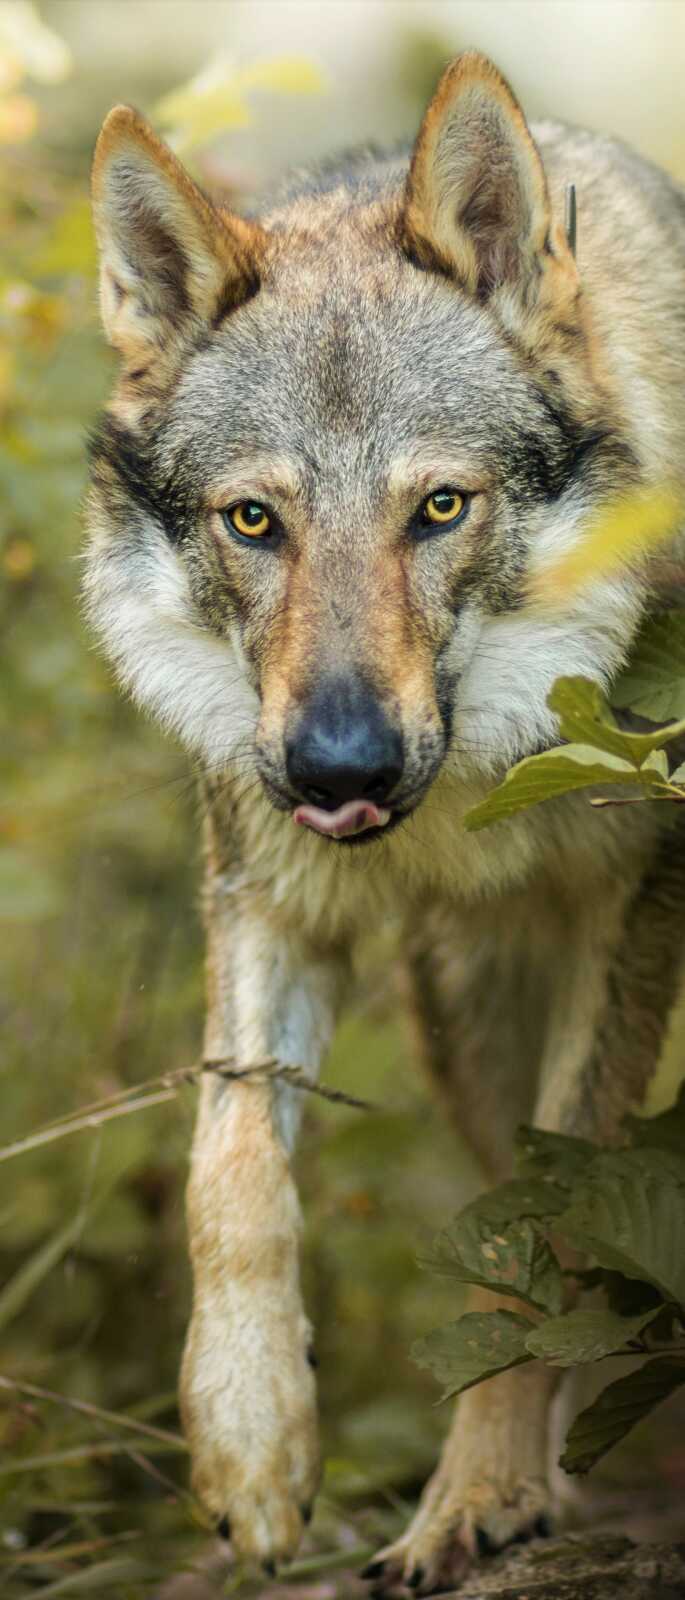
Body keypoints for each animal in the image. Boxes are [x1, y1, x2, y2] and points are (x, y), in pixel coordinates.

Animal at [84, 50, 685, 1593]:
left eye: (439, 508)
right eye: (253, 522)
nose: (334, 766)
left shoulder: (626, 921)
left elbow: (547, 1229)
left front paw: (475, 1493)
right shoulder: (267, 898)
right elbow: (229, 1175)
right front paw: (251, 1447)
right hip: (463, 1020)